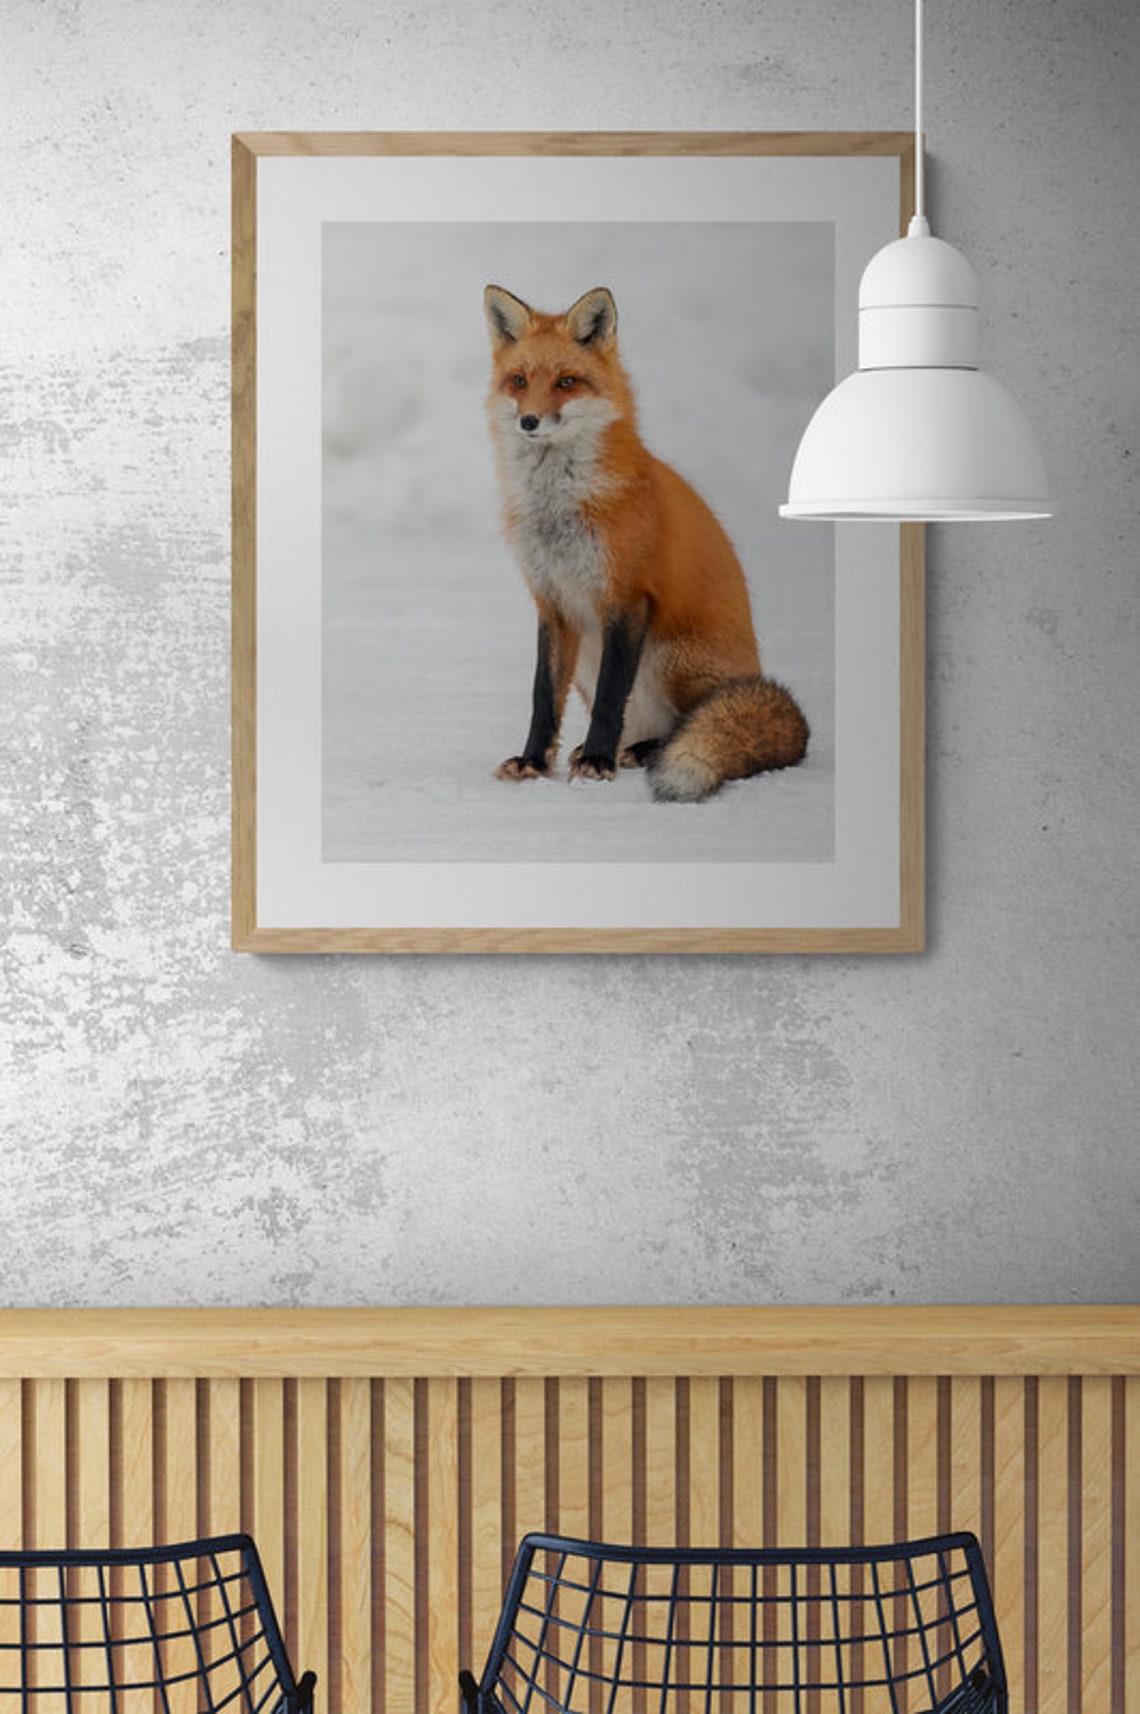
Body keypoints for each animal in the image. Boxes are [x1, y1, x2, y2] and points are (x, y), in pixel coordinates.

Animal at [483, 283, 809, 803]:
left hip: (668, 656)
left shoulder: (626, 595)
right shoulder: (553, 602)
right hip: (587, 657)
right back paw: (621, 749)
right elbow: (542, 697)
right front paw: (534, 762)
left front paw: (596, 763)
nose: (529, 421)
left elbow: (611, 695)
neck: (560, 507)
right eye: (518, 380)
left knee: (683, 725)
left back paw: (638, 751)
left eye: (567, 382)